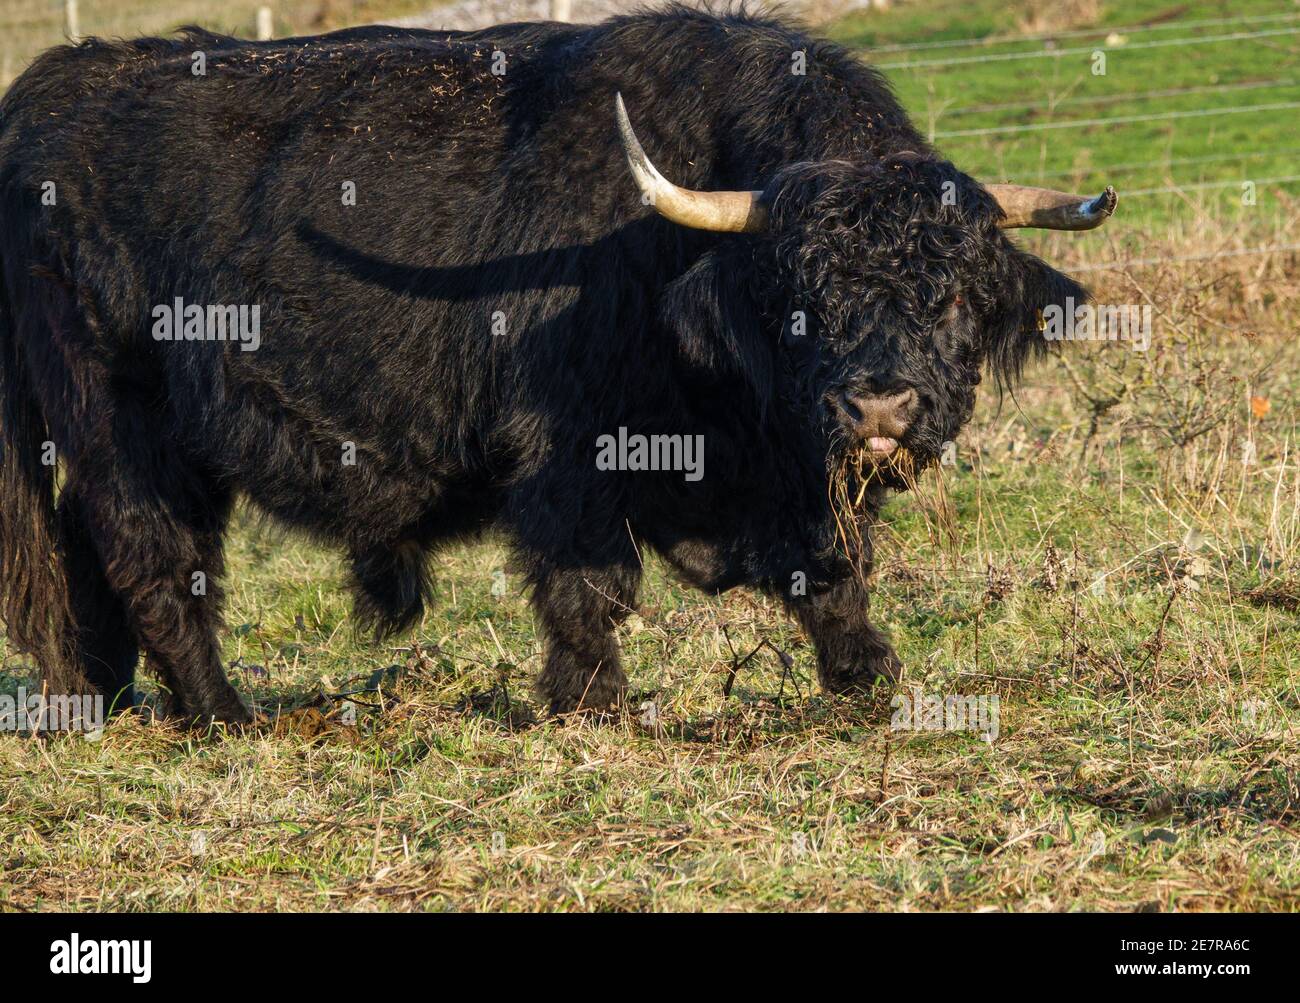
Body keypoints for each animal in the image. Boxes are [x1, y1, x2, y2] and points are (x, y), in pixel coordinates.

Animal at [0, 7, 1115, 724]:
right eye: (800, 296)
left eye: (956, 295)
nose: (879, 407)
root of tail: (55, 91)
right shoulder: (569, 450)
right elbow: (591, 582)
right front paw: (596, 704)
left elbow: (832, 572)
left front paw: (866, 677)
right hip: (118, 426)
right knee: (153, 561)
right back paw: (223, 714)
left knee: (89, 565)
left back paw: (103, 694)